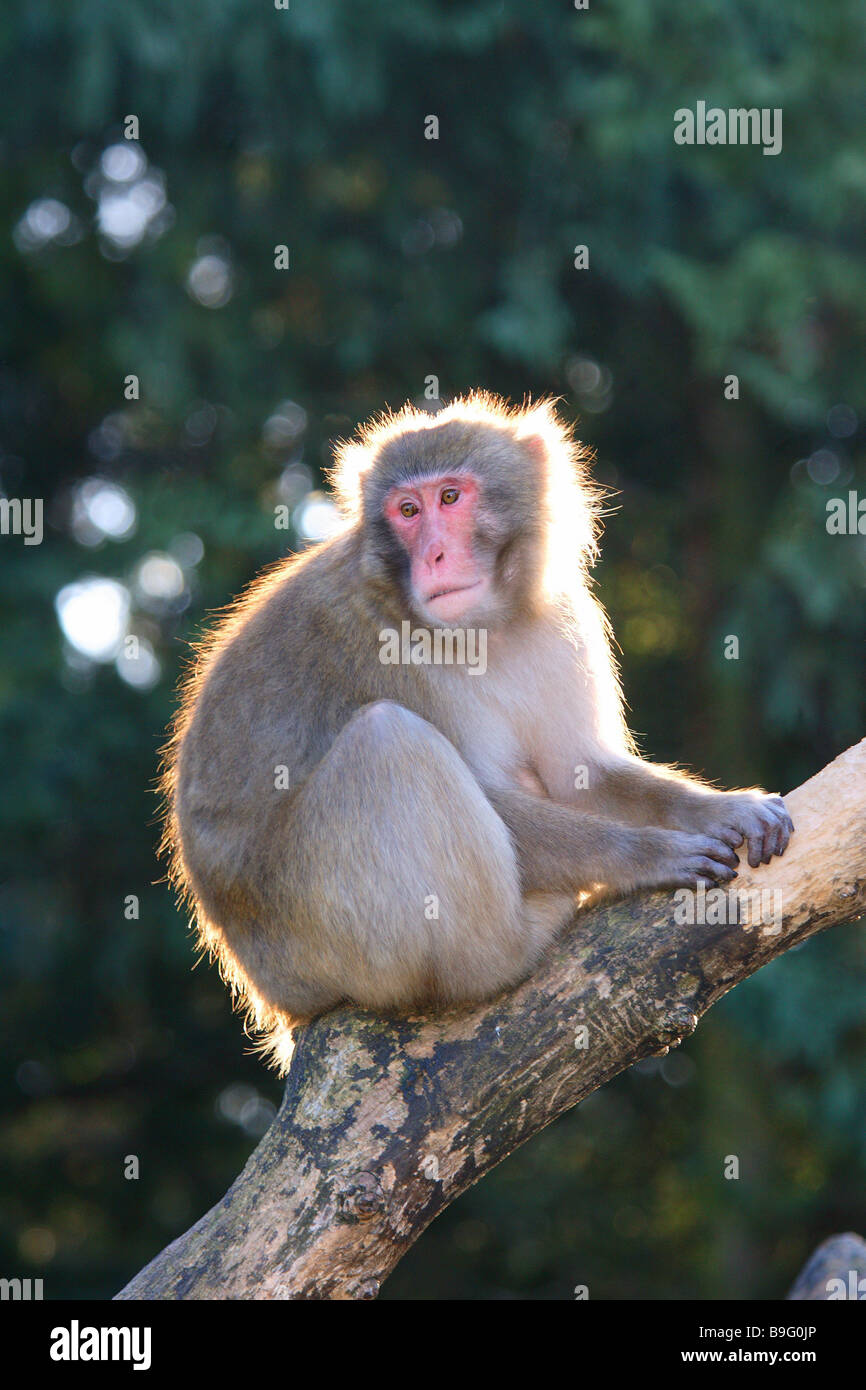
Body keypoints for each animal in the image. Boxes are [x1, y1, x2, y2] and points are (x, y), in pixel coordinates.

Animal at [161, 391, 793, 1071]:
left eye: (450, 498)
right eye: (407, 511)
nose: (434, 555)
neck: (487, 627)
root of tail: (280, 1001)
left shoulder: (562, 615)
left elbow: (580, 775)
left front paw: (725, 808)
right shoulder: (379, 643)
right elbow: (494, 792)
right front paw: (645, 855)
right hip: (323, 938)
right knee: (388, 740)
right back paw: (512, 946)